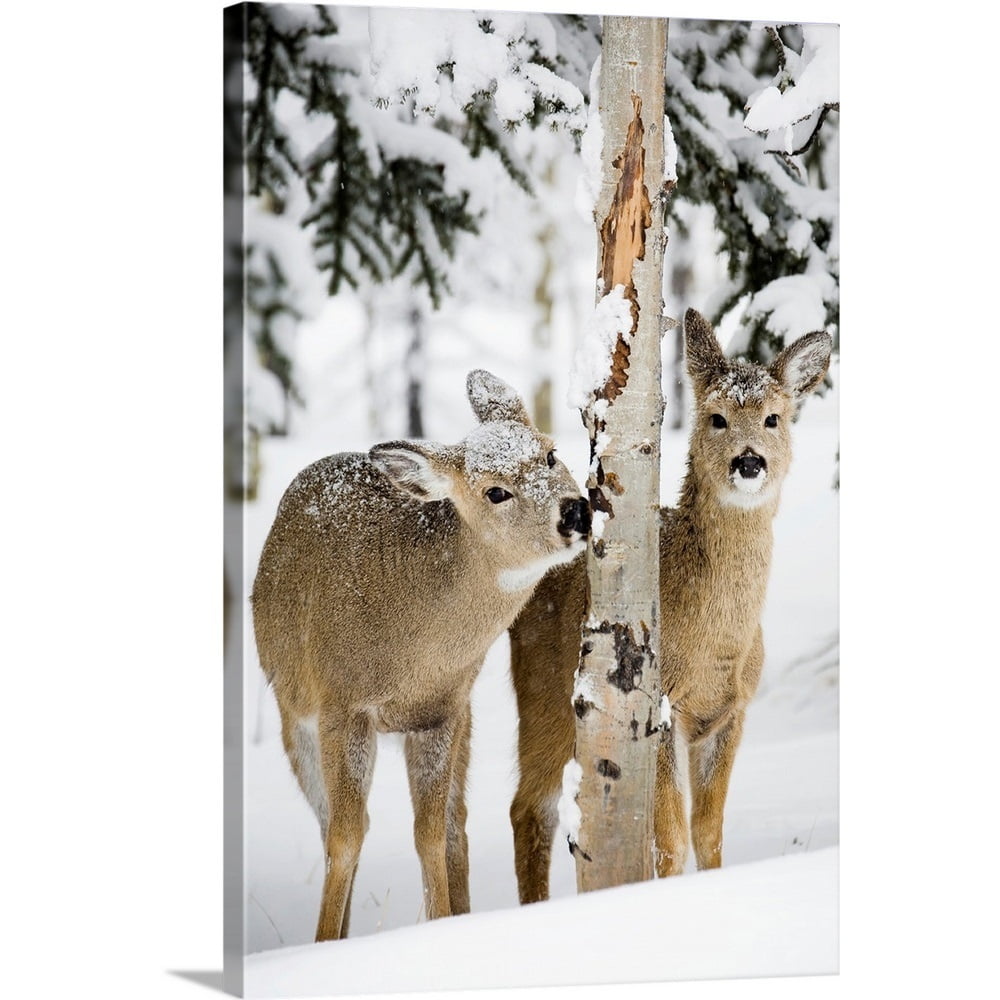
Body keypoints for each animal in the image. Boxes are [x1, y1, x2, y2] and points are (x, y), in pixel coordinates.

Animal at [251, 369, 590, 941]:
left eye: (550, 452)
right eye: (494, 491)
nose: (576, 511)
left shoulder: (443, 711)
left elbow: (430, 832)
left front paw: (440, 923)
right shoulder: (341, 705)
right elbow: (345, 836)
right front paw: (324, 942)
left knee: (454, 822)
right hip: (292, 711)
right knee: (335, 822)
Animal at [507, 308, 832, 903]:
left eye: (773, 418)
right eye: (717, 418)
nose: (749, 461)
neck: (717, 643)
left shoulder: (732, 711)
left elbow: (709, 833)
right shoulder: (658, 705)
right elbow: (671, 840)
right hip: (545, 697)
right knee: (529, 808)